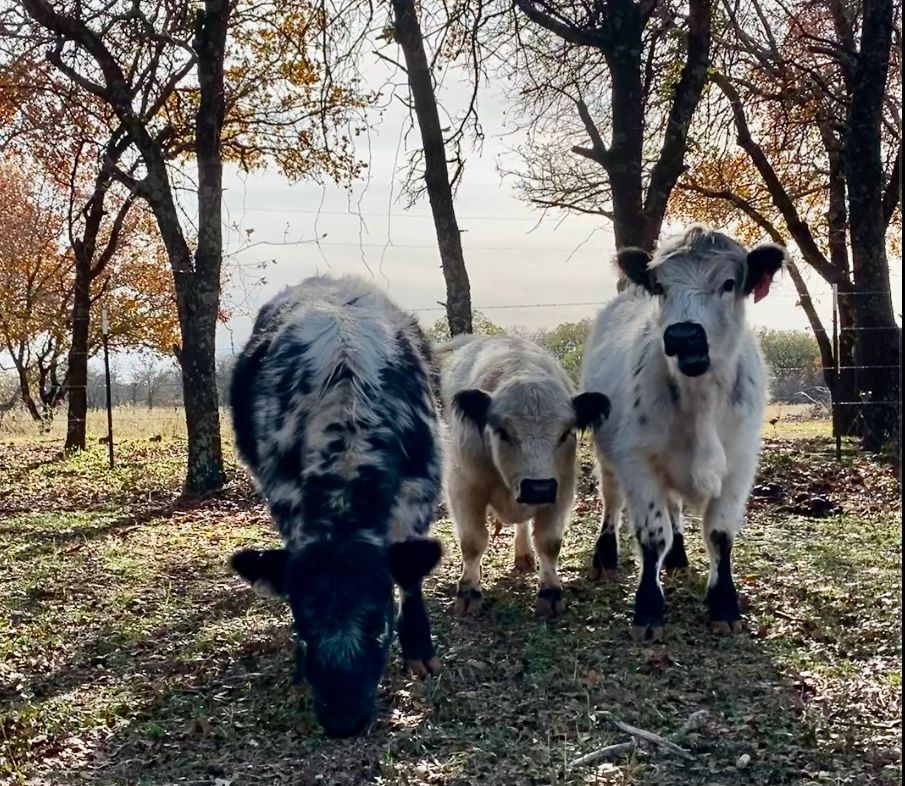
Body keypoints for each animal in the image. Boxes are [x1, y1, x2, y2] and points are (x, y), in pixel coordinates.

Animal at [227, 275, 444, 737]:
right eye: (302, 628)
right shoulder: (284, 494)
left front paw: (420, 650)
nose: (343, 720)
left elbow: (410, 578)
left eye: (380, 625)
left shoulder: (420, 489)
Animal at [438, 334, 610, 618]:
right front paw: (468, 592)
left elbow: (549, 543)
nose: (538, 489)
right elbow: (472, 542)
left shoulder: (561, 491)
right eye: (503, 431)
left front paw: (550, 592)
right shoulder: (464, 488)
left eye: (565, 432)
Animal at [580, 226, 785, 641]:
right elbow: (652, 534)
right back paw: (606, 556)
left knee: (673, 507)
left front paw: (724, 603)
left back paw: (677, 556)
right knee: (612, 501)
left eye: (728, 283)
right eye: (660, 286)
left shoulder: (739, 465)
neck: (700, 402)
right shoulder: (638, 461)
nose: (684, 335)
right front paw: (648, 609)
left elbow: (720, 534)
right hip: (608, 455)